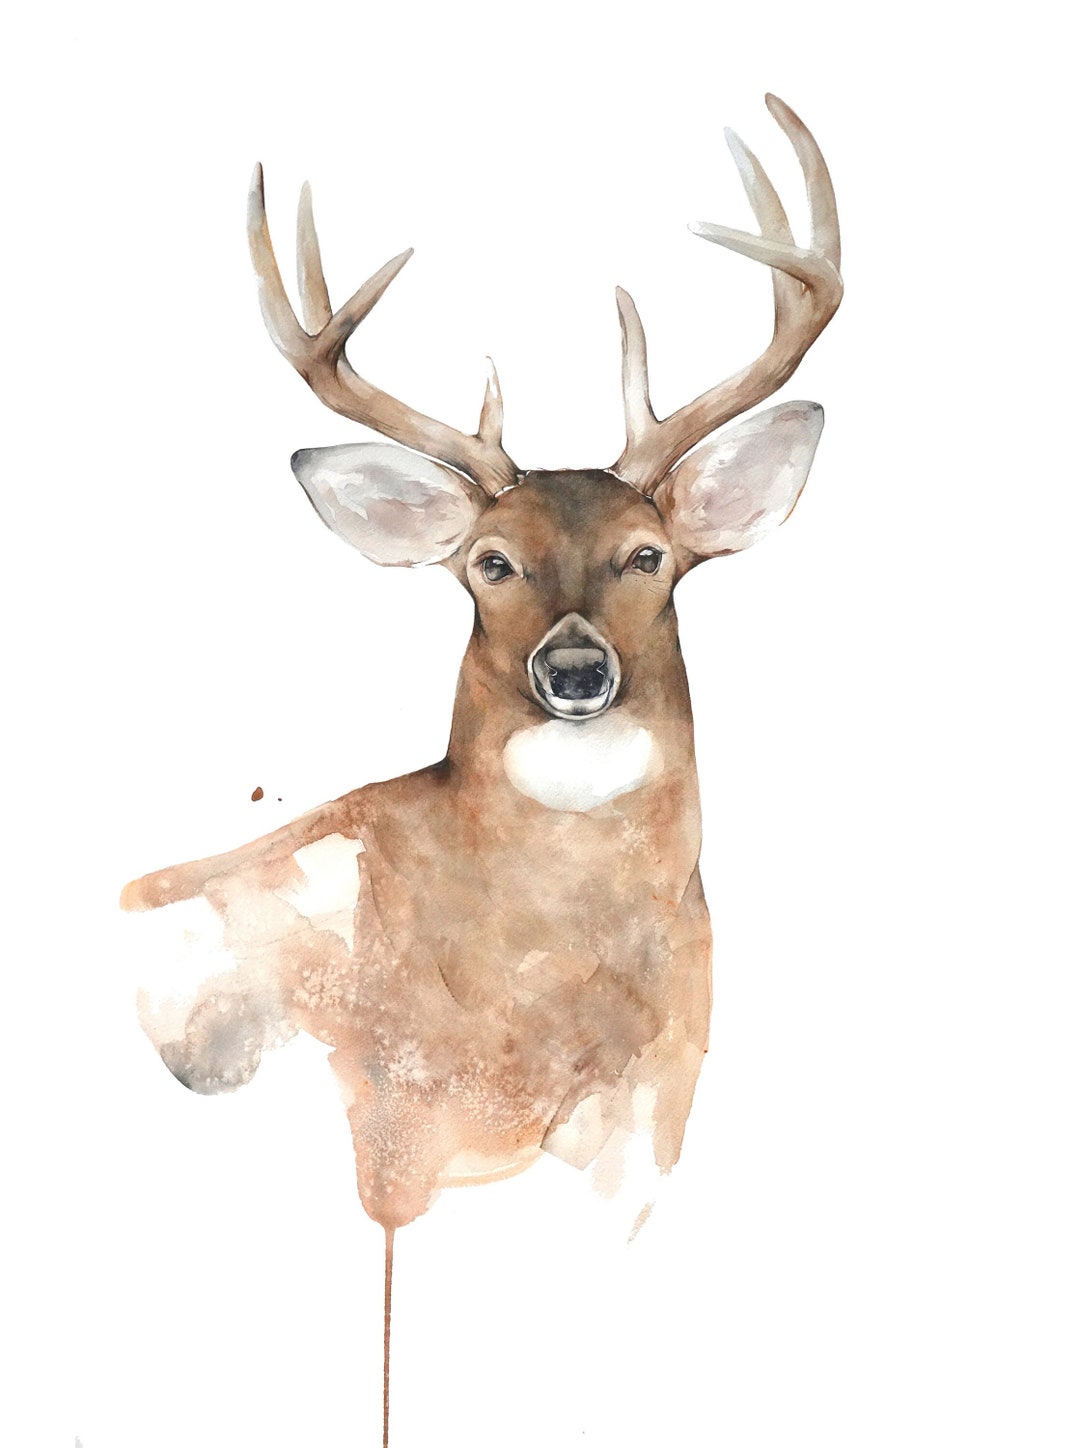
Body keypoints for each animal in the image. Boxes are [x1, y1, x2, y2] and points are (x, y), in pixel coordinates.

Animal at [121, 93, 841, 1446]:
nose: (576, 666)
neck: (543, 991)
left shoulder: (648, 1125)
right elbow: (394, 1364)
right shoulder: (392, 1130)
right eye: (491, 561)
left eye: (648, 553)